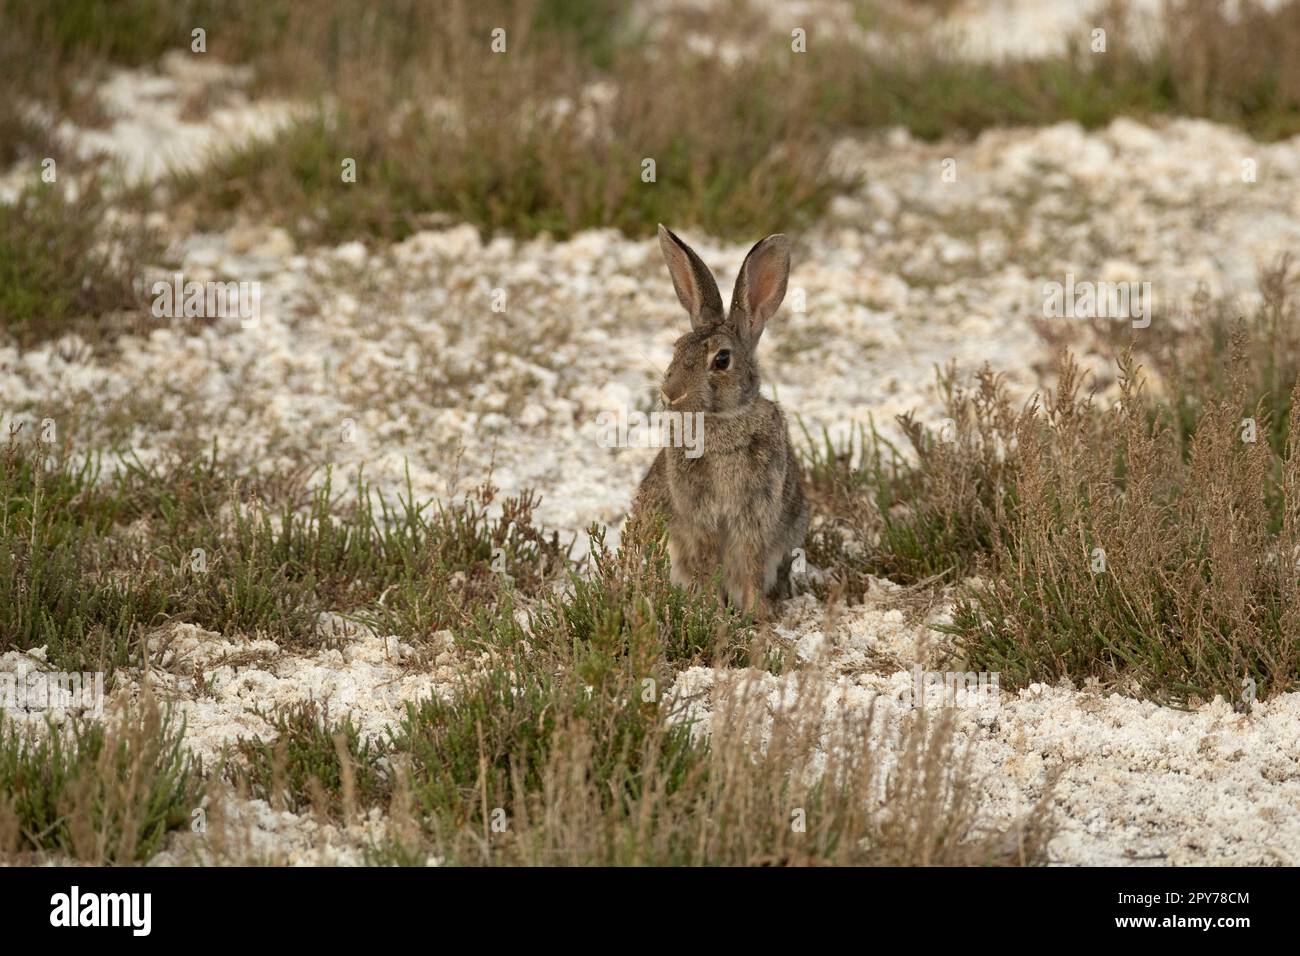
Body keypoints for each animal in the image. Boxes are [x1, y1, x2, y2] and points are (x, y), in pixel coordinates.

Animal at [632, 225, 810, 618]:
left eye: (722, 360)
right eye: (677, 348)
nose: (671, 394)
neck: (721, 422)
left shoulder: (755, 516)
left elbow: (750, 564)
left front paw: (757, 614)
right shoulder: (699, 518)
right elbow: (705, 564)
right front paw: (708, 611)